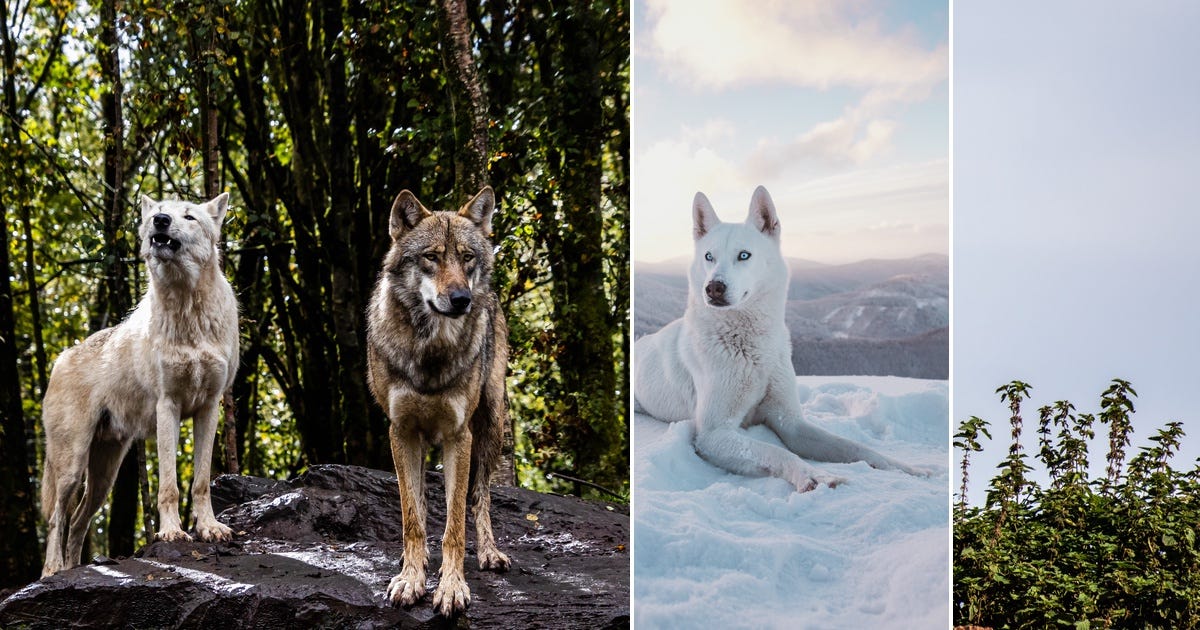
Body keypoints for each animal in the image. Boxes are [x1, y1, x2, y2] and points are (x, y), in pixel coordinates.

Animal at [40, 193, 238, 577]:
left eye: (189, 217)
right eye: (158, 214)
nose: (160, 220)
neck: (188, 313)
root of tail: (60, 359)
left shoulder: (209, 407)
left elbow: (201, 481)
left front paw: (209, 528)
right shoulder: (168, 406)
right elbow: (169, 485)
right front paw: (173, 532)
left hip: (105, 476)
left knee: (78, 520)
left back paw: (74, 569)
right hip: (72, 465)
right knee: (57, 518)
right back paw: (54, 570)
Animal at [367, 186, 511, 616]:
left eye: (467, 257)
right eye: (431, 257)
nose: (462, 299)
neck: (431, 349)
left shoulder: (458, 436)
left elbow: (455, 525)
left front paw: (451, 587)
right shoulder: (401, 431)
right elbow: (412, 517)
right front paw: (411, 578)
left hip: (491, 426)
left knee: (480, 497)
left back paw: (489, 553)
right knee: (420, 500)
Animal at [634, 186, 924, 491]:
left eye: (744, 255)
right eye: (709, 256)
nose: (713, 287)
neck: (750, 348)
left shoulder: (791, 422)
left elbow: (854, 447)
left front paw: (906, 469)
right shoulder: (714, 434)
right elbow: (776, 451)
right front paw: (815, 476)